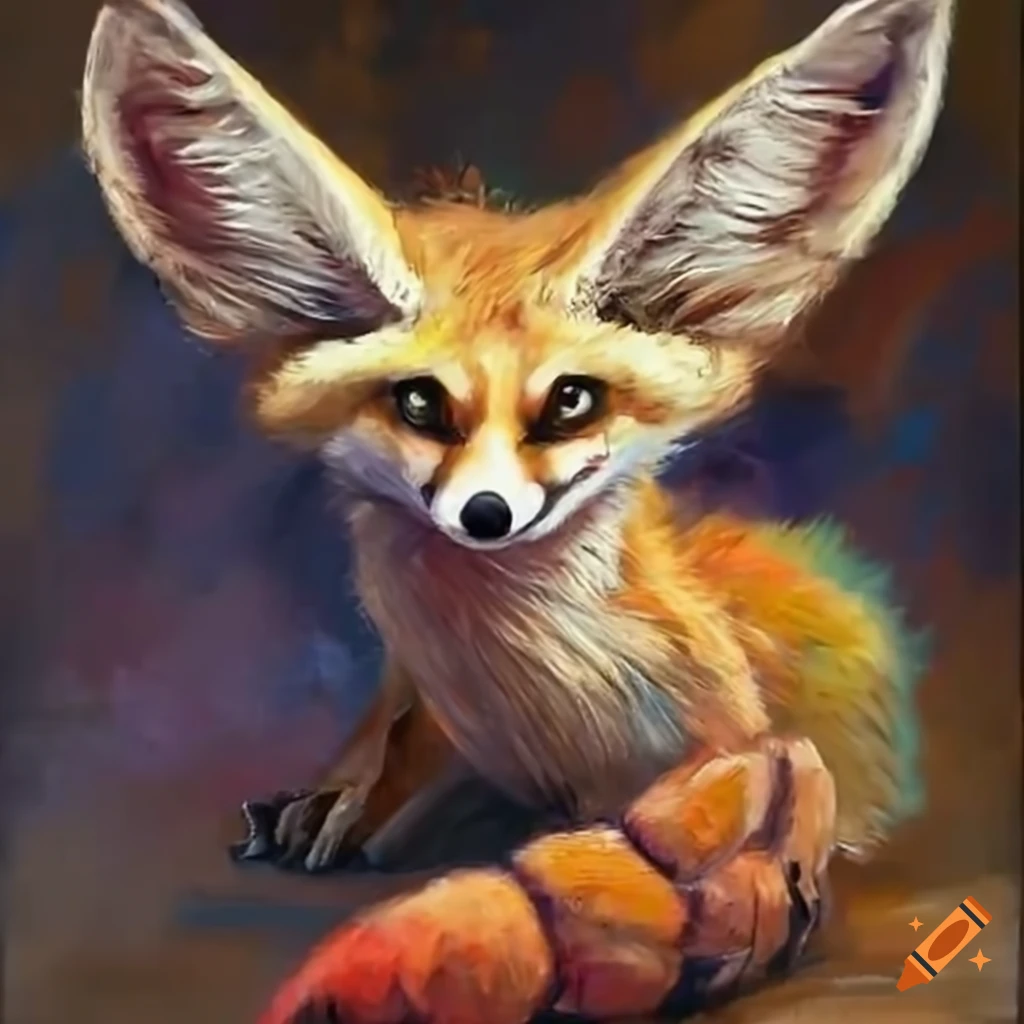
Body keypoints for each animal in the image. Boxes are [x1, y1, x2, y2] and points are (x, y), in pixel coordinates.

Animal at [80, 0, 953, 1021]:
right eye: (421, 403)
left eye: (570, 401)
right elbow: (389, 744)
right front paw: (346, 797)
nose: (487, 514)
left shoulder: (730, 739)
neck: (535, 711)